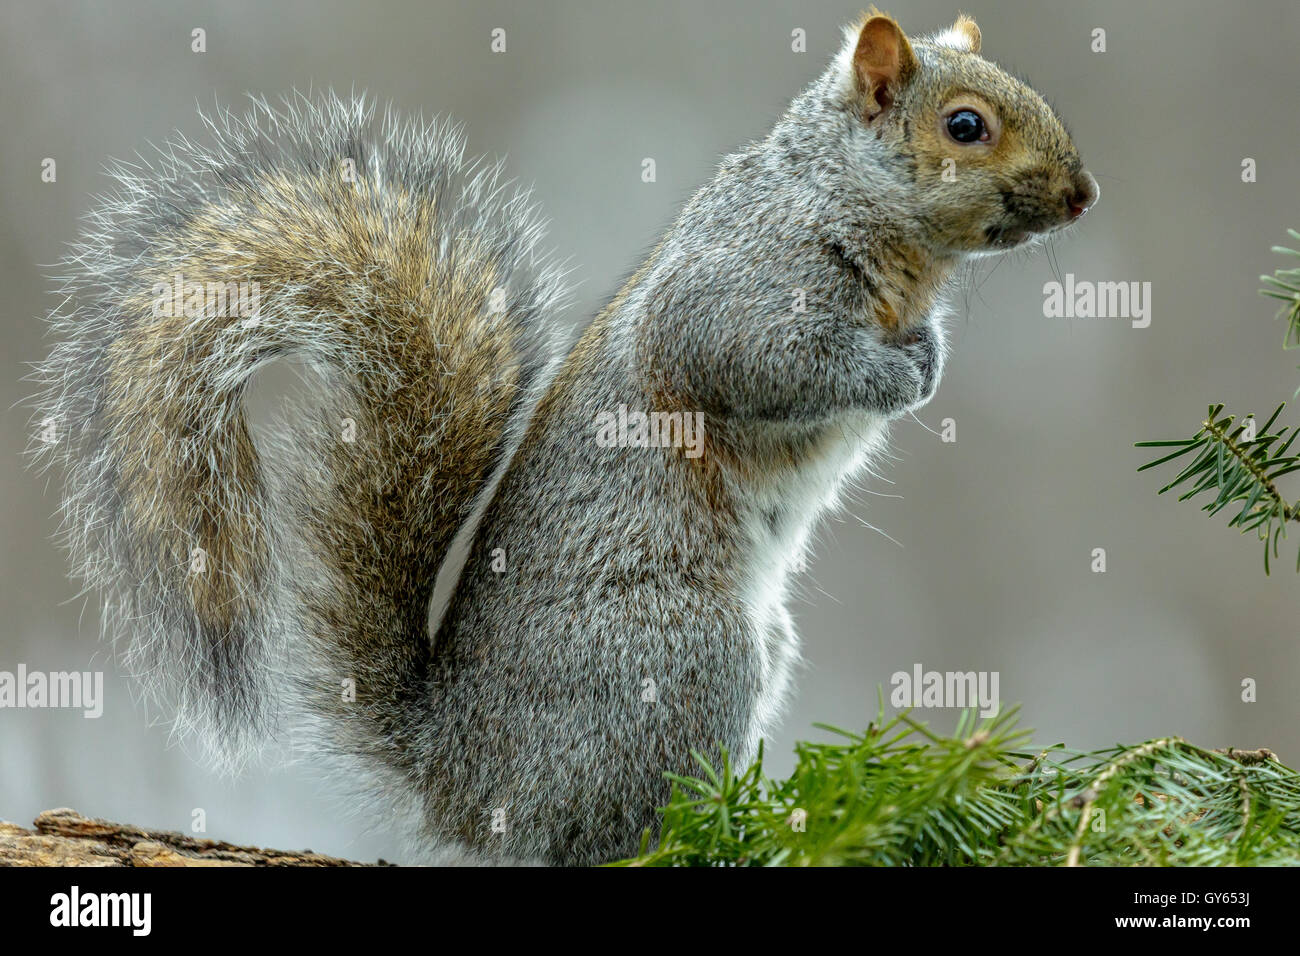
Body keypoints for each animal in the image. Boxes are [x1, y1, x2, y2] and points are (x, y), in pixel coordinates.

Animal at [32, 11, 1096, 865]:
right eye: (966, 126)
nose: (1084, 194)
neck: (853, 206)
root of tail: (469, 780)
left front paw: (932, 353)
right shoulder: (745, 289)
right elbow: (757, 361)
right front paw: (894, 374)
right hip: (682, 655)